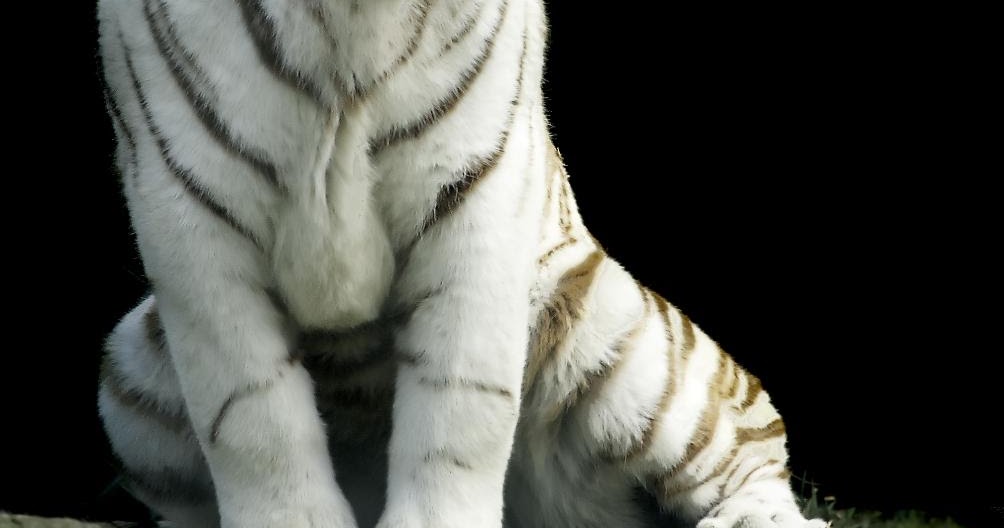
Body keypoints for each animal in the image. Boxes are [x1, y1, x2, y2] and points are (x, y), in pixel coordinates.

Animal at [96, 0, 829, 527]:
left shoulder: (477, 185)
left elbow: (461, 406)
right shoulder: (183, 199)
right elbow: (250, 415)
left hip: (618, 337)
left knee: (753, 448)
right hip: (130, 366)